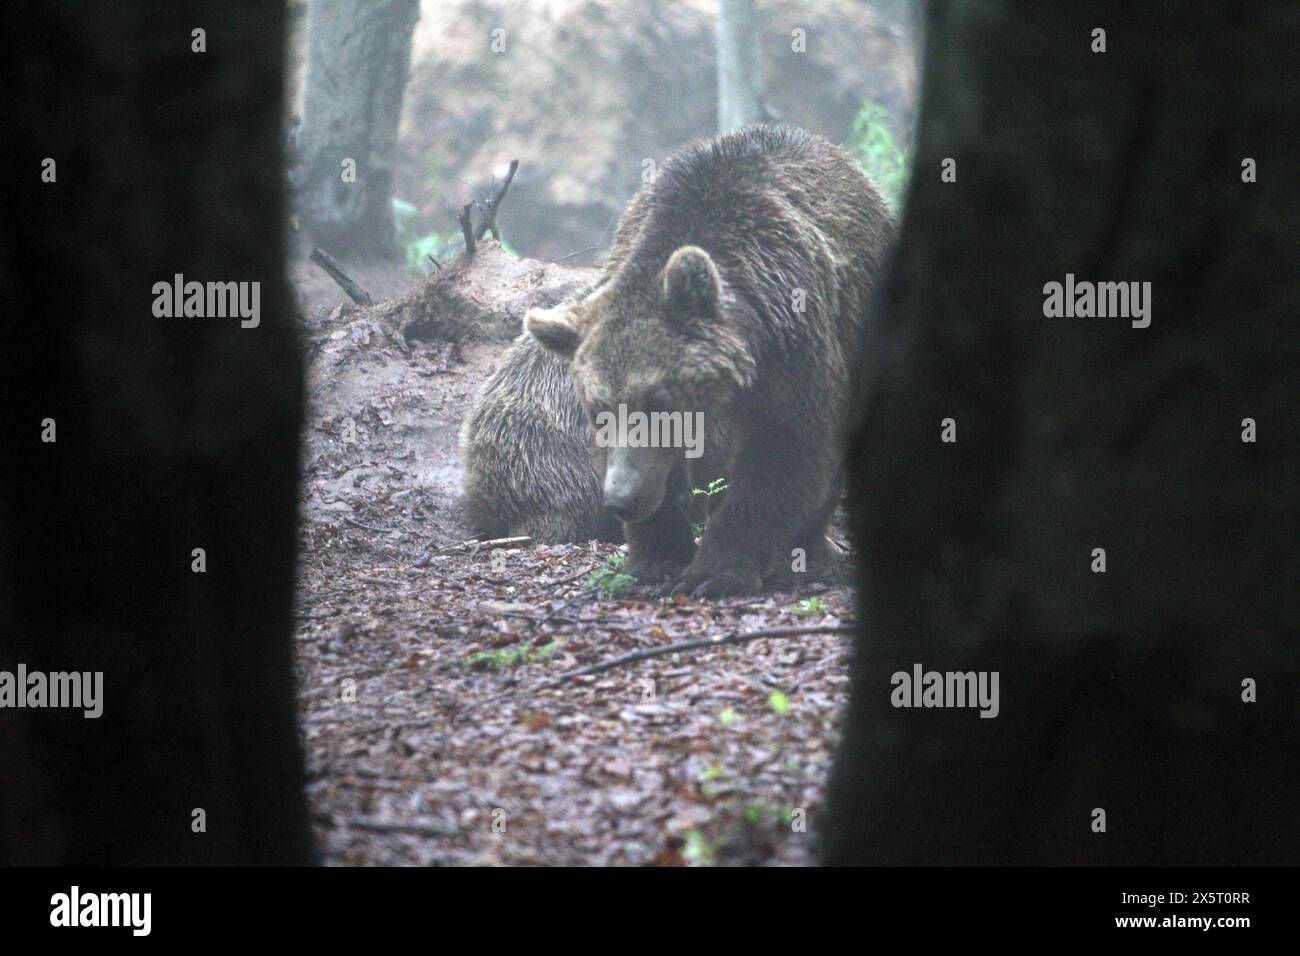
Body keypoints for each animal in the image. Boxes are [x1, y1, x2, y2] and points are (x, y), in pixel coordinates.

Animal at [524, 124, 895, 596]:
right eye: (597, 409)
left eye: (657, 403)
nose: (621, 499)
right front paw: (657, 556)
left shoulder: (793, 345)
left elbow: (785, 446)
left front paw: (715, 570)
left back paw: (810, 545)